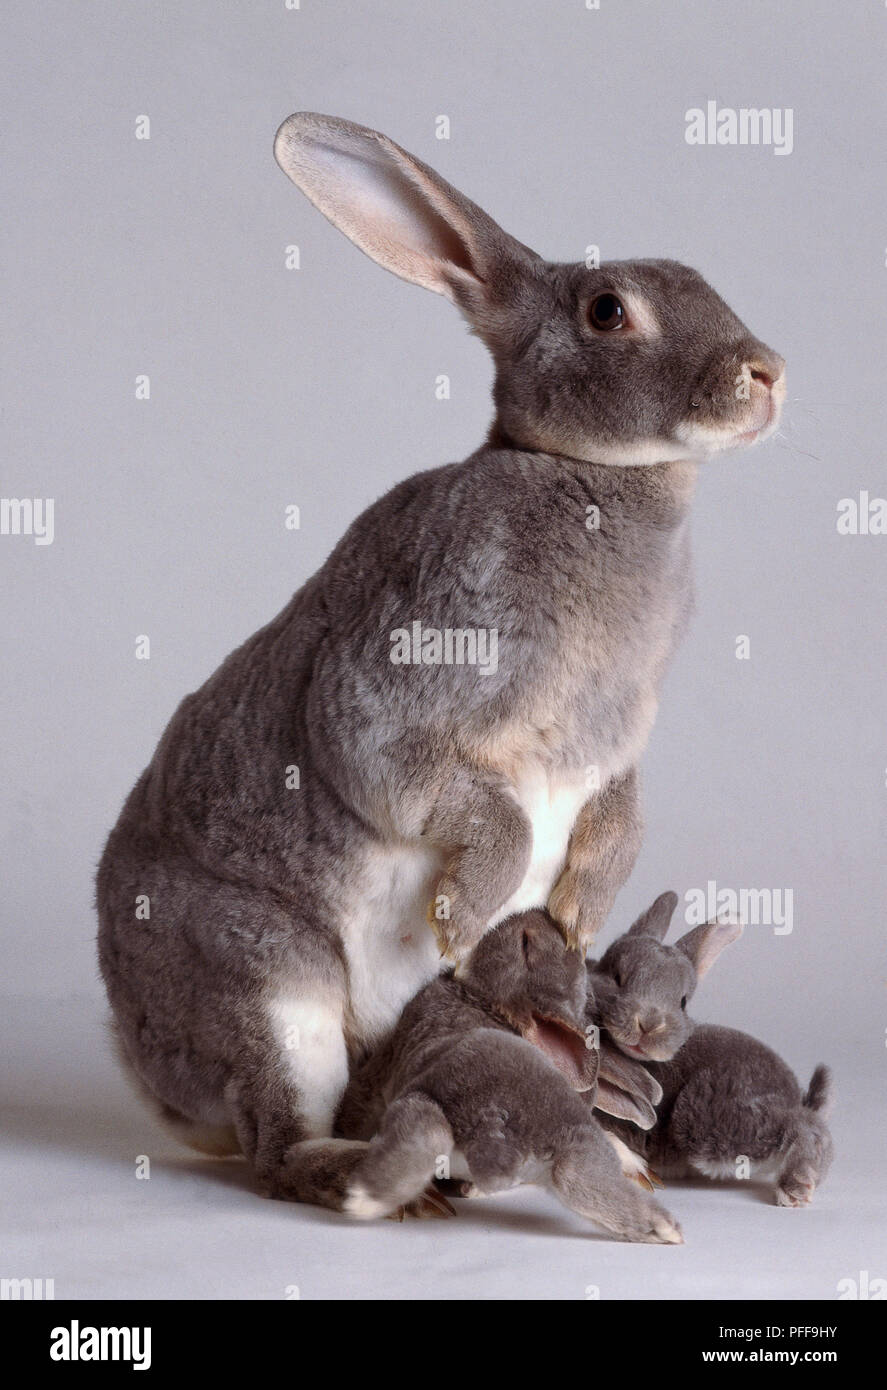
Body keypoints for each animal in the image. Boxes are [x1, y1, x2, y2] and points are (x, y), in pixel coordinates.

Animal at [335, 909, 683, 1242]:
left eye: (525, 942)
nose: (536, 912)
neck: (485, 1001)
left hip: (426, 1101)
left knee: (427, 1132)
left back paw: (363, 1200)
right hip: (575, 1150)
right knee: (579, 1177)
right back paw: (663, 1227)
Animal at [586, 892, 834, 1207]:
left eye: (682, 1001)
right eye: (617, 977)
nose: (650, 1024)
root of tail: (796, 1094)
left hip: (709, 1120)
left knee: (806, 1128)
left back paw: (795, 1187)